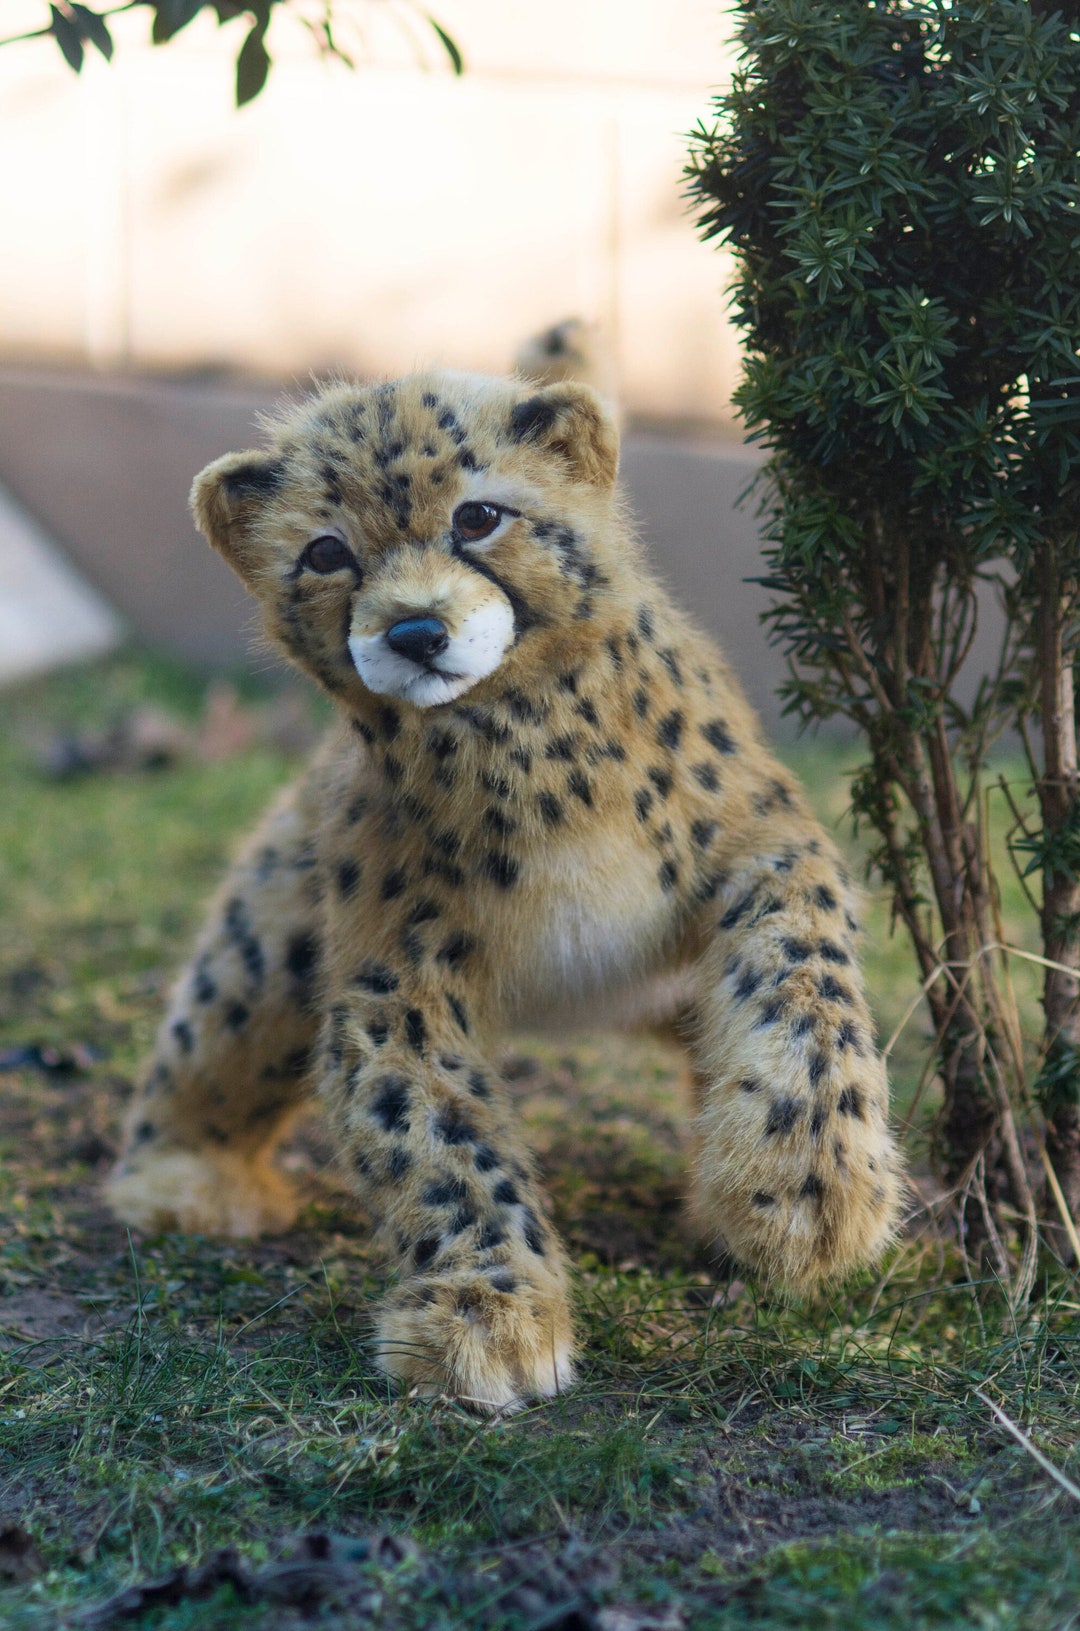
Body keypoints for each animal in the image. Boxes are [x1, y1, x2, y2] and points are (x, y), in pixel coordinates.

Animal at [106, 370, 905, 1413]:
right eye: (326, 552)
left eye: (478, 516)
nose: (415, 630)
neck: (522, 737)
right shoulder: (395, 976)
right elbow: (437, 1137)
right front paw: (486, 1312)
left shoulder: (767, 840)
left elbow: (803, 973)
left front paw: (807, 1187)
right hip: (268, 945)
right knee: (210, 1030)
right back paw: (177, 1182)